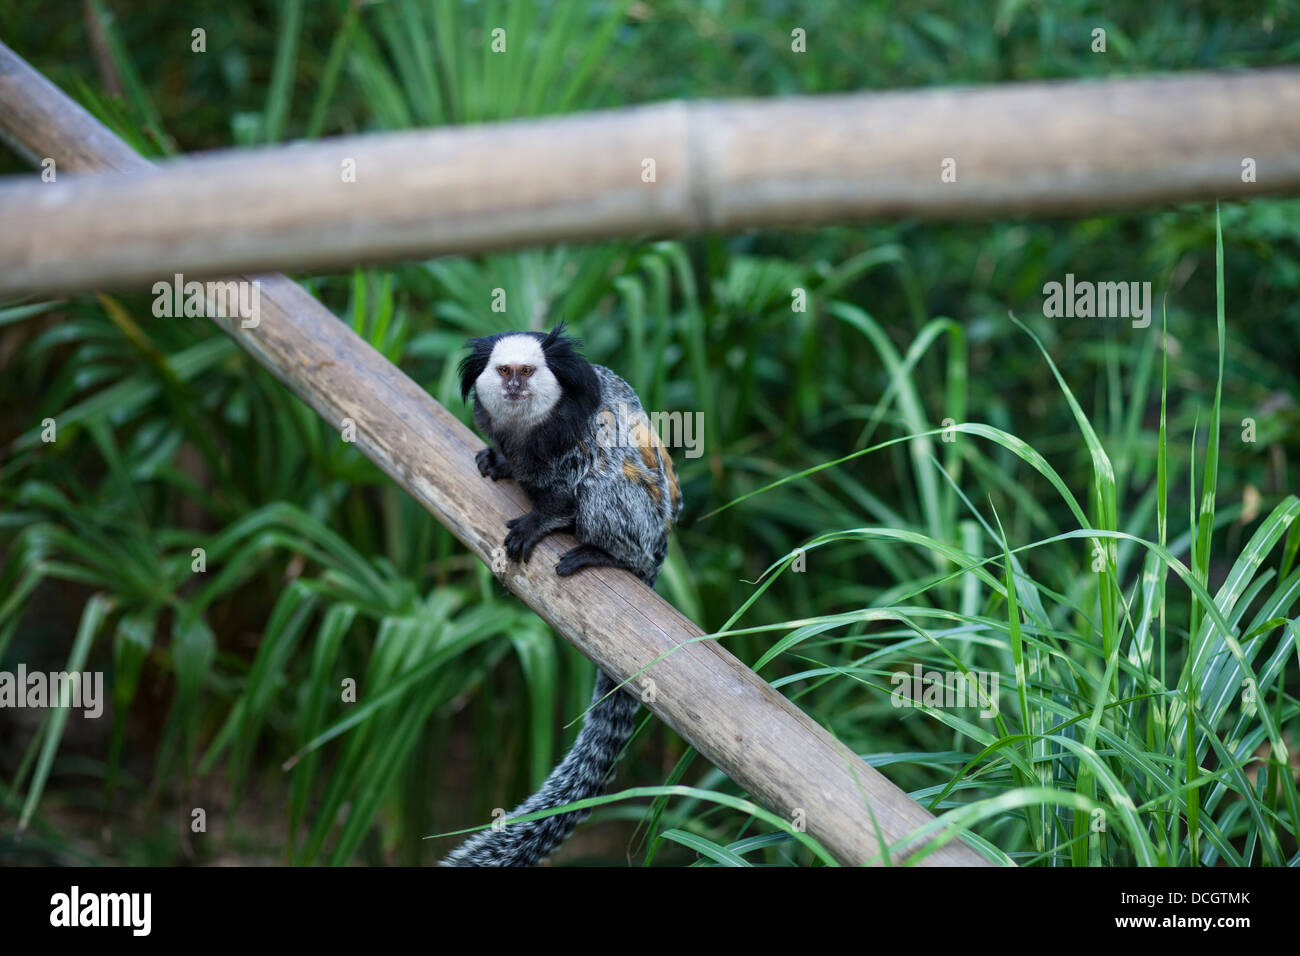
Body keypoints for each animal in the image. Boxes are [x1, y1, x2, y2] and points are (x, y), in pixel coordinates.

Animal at [441, 322, 681, 866]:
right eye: (504, 371)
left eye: (528, 372)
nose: (514, 386)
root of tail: (660, 549)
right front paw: (502, 460)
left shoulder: (578, 442)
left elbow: (573, 491)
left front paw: (539, 520)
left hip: (642, 526)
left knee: (607, 485)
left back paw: (609, 555)